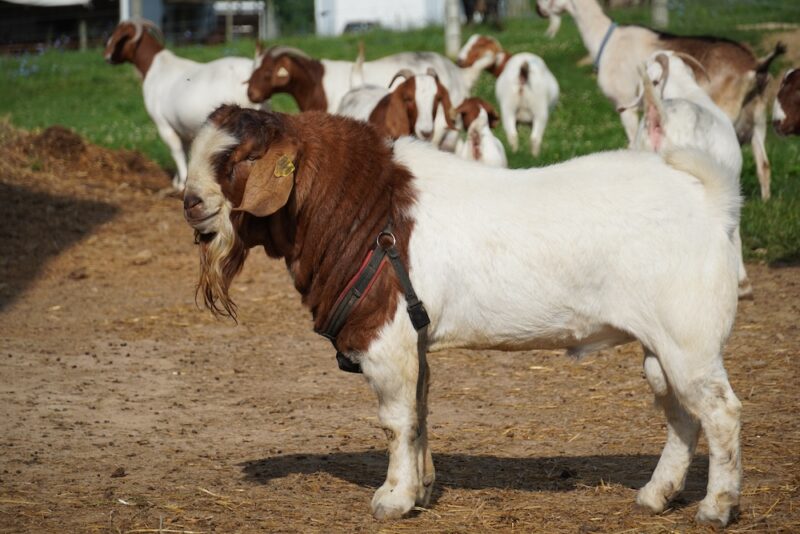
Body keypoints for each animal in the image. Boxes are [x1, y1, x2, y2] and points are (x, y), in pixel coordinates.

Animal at [103, 19, 263, 190]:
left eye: (120, 36)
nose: (106, 56)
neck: (157, 66)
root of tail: (252, 70)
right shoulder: (183, 127)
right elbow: (186, 151)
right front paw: (178, 180)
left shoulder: (163, 123)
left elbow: (176, 150)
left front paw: (181, 184)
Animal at [183, 104, 743, 528]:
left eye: (242, 158)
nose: (190, 202)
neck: (367, 210)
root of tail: (710, 201)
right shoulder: (414, 342)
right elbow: (420, 412)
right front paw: (423, 489)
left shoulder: (385, 342)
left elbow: (395, 421)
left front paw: (393, 498)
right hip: (660, 346)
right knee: (680, 414)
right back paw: (655, 496)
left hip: (689, 340)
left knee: (720, 412)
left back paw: (716, 508)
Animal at [535, 0, 784, 200]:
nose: (538, 9)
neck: (606, 38)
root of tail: (757, 65)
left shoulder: (624, 103)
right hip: (759, 115)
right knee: (764, 165)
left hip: (729, 109)